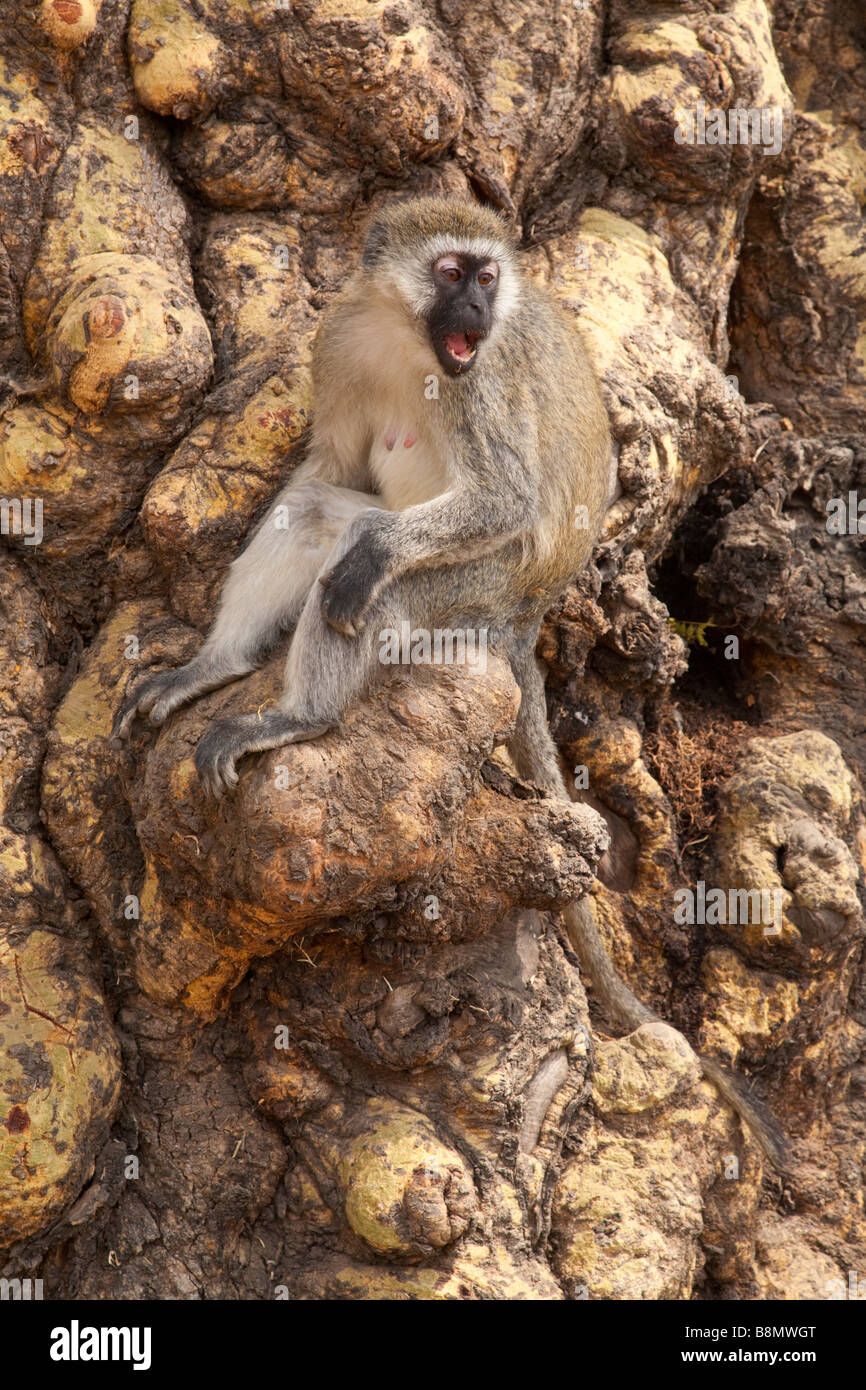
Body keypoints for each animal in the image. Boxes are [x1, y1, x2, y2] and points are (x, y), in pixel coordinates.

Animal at [114, 196, 786, 1170]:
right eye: (450, 272)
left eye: (487, 274)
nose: (475, 310)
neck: (409, 338)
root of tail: (528, 617)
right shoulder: (341, 338)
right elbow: (326, 473)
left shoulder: (482, 387)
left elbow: (500, 500)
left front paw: (369, 572)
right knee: (316, 516)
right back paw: (221, 668)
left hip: (473, 592)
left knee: (373, 588)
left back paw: (300, 715)